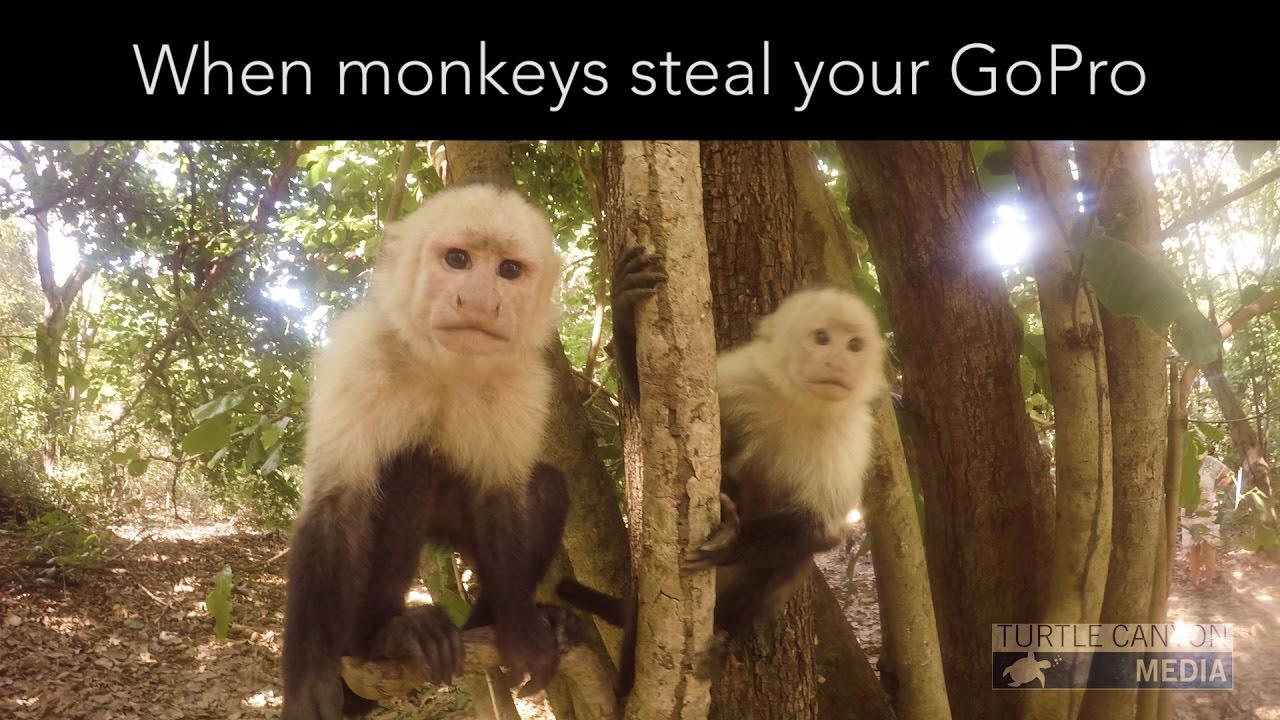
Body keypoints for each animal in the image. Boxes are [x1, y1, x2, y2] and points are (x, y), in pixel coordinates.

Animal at [280, 181, 578, 720]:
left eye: (509, 270)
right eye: (457, 259)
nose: (479, 300)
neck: (447, 364)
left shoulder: (525, 380)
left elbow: (502, 499)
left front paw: (521, 635)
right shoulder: (359, 354)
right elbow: (336, 505)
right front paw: (307, 681)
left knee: (544, 487)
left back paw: (514, 622)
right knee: (409, 468)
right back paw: (384, 636)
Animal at [557, 244, 885, 698]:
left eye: (854, 345)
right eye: (822, 338)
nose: (838, 360)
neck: (800, 403)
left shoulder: (852, 438)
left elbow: (825, 529)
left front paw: (730, 540)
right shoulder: (745, 378)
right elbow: (659, 407)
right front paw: (623, 304)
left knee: (788, 561)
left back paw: (722, 639)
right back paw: (626, 687)